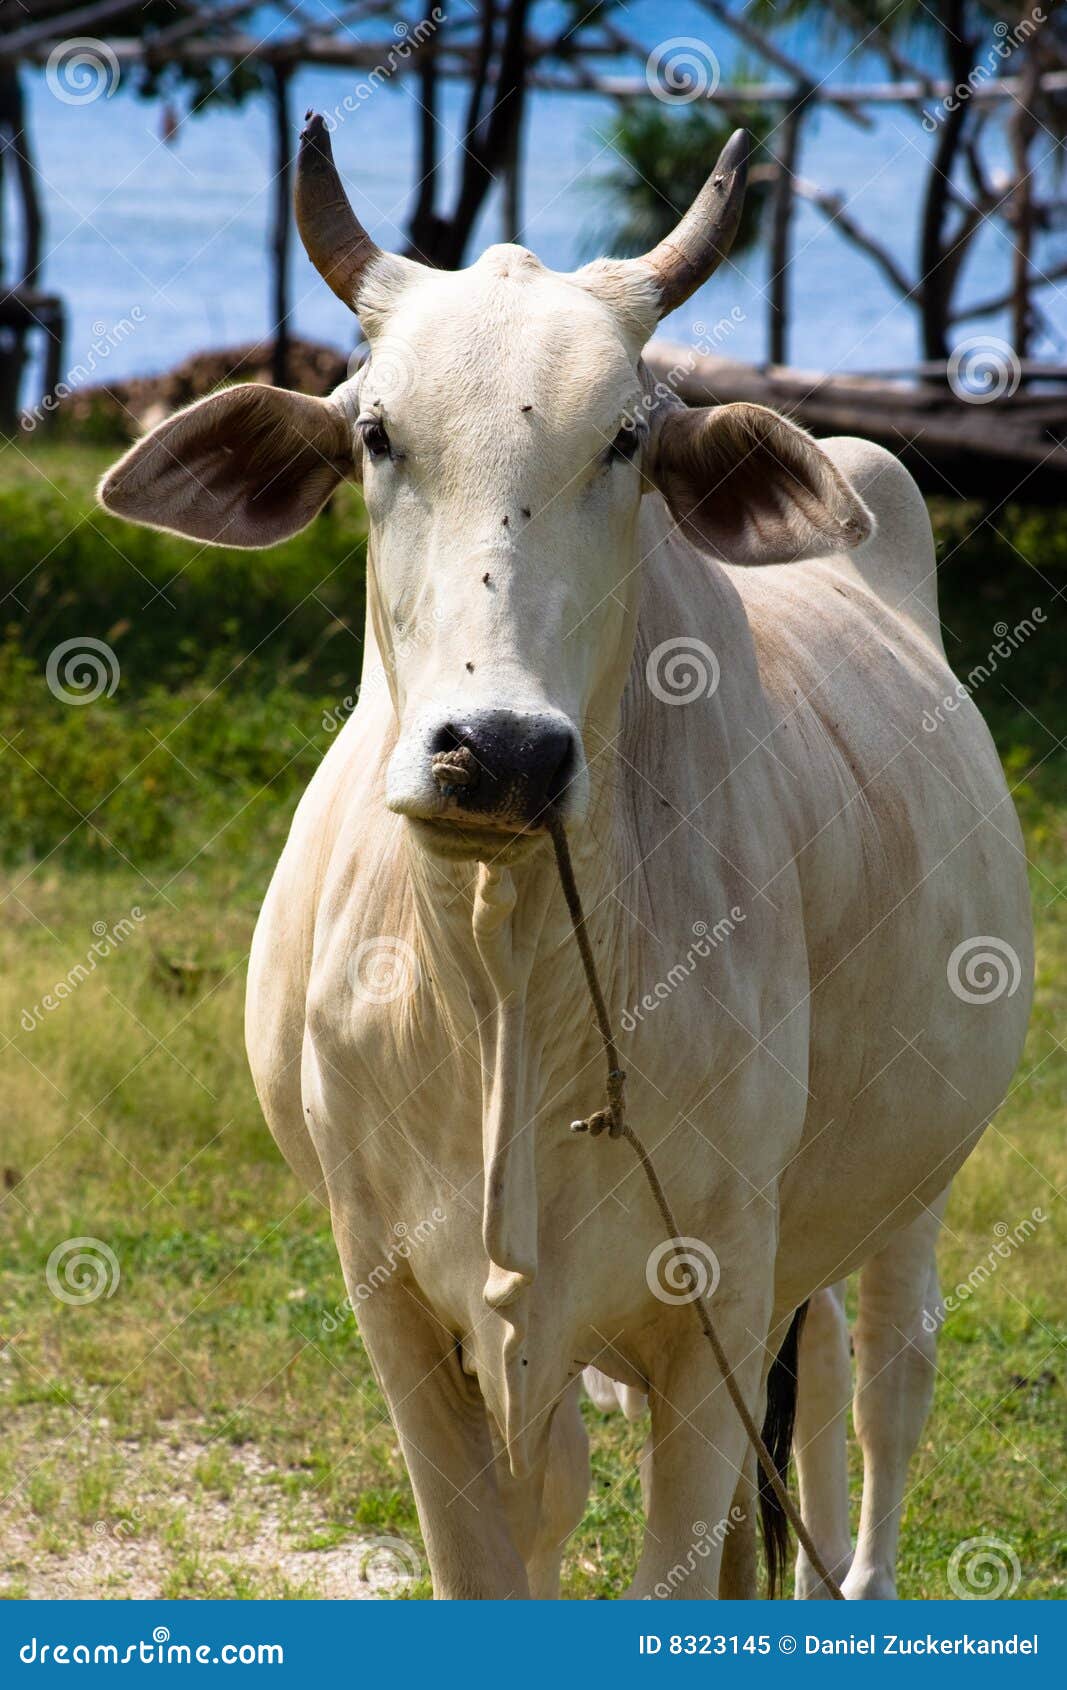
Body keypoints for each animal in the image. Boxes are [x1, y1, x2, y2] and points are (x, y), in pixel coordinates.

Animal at [99, 116, 1033, 1600]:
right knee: (816, 1382)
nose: (500, 752)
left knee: (886, 1384)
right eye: (374, 432)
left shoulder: (707, 1293)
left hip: (914, 1186)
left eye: (628, 438)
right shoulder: (398, 1305)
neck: (500, 957)